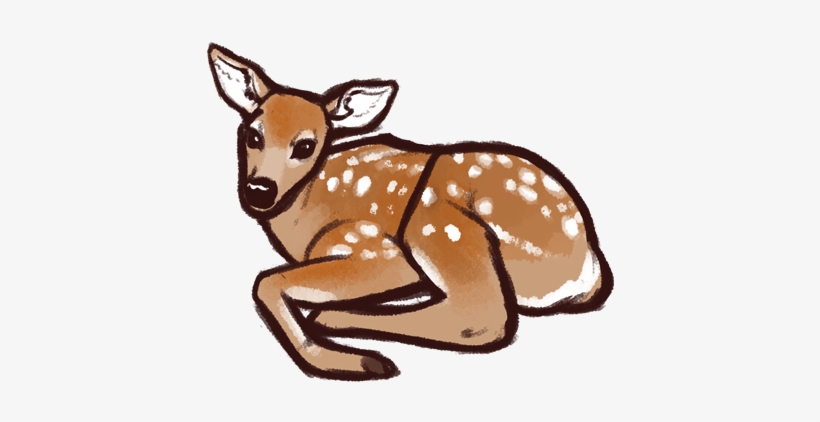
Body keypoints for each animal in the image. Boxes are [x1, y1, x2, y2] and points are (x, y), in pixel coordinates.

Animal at [207, 43, 613, 381]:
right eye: (252, 134)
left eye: (305, 145)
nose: (259, 190)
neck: (304, 218)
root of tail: (588, 264)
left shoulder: (375, 246)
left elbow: (266, 281)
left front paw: (347, 362)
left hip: (433, 219)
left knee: (483, 317)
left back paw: (344, 329)